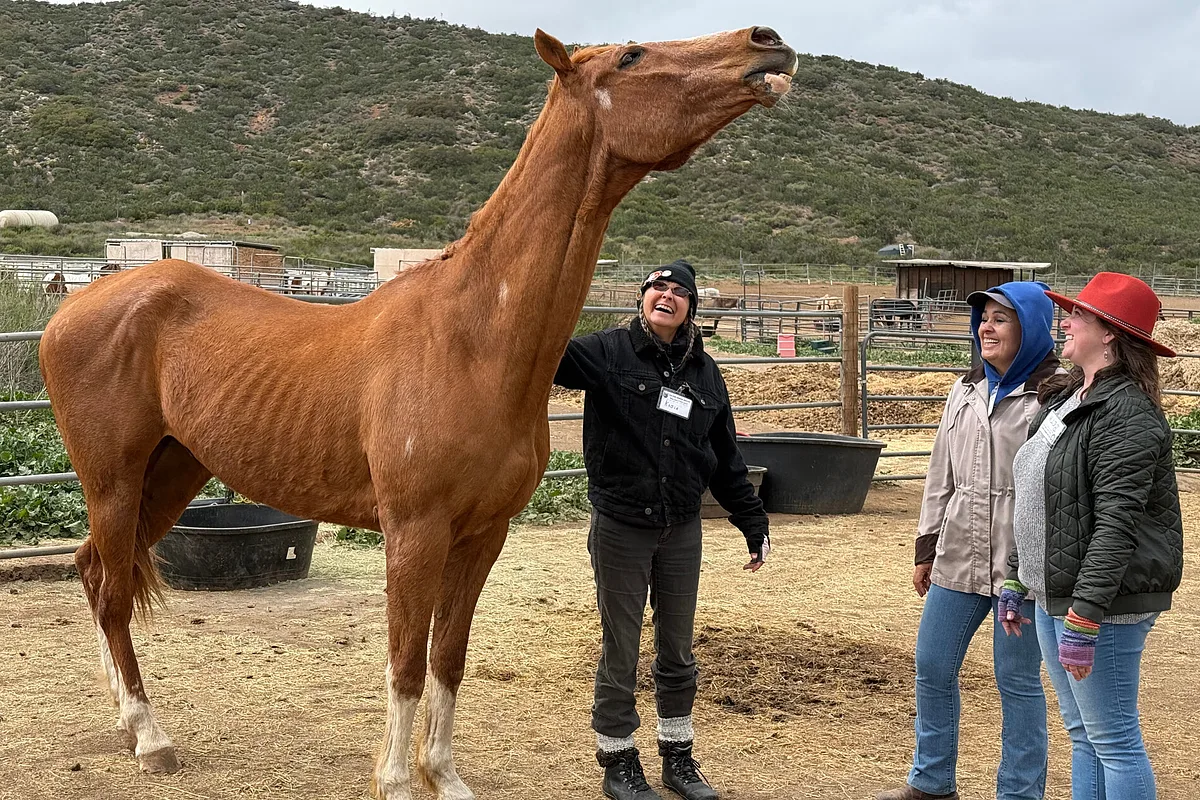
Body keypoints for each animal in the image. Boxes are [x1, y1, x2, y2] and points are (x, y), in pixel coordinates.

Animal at [38, 26, 796, 800]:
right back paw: (151, 737)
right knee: (111, 592)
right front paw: (399, 780)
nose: (767, 45)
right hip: (113, 480)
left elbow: (447, 658)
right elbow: (404, 660)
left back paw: (128, 723)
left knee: (97, 575)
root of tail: (77, 302)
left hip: (172, 473)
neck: (472, 339)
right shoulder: (414, 533)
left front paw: (444, 775)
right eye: (632, 56)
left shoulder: (483, 535)